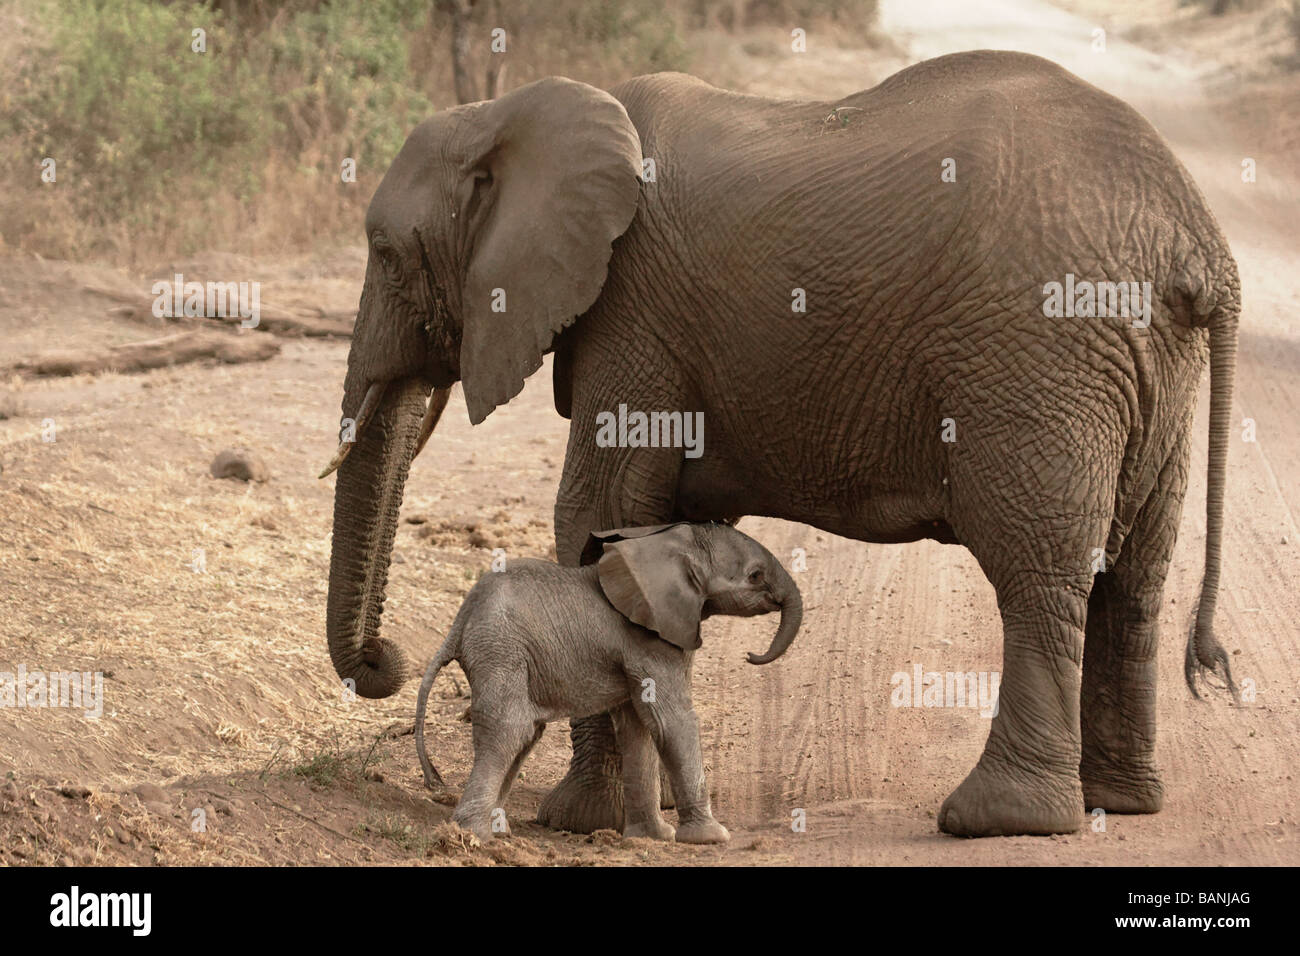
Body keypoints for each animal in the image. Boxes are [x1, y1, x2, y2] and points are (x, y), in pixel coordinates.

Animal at [413, 521, 802, 843]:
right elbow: (672, 721)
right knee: (511, 729)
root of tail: (459, 622)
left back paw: (496, 831)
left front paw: (653, 837)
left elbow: (639, 728)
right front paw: (712, 838)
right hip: (501, 649)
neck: (666, 542)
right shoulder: (650, 640)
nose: (751, 655)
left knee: (525, 735)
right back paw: (473, 836)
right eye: (755, 576)